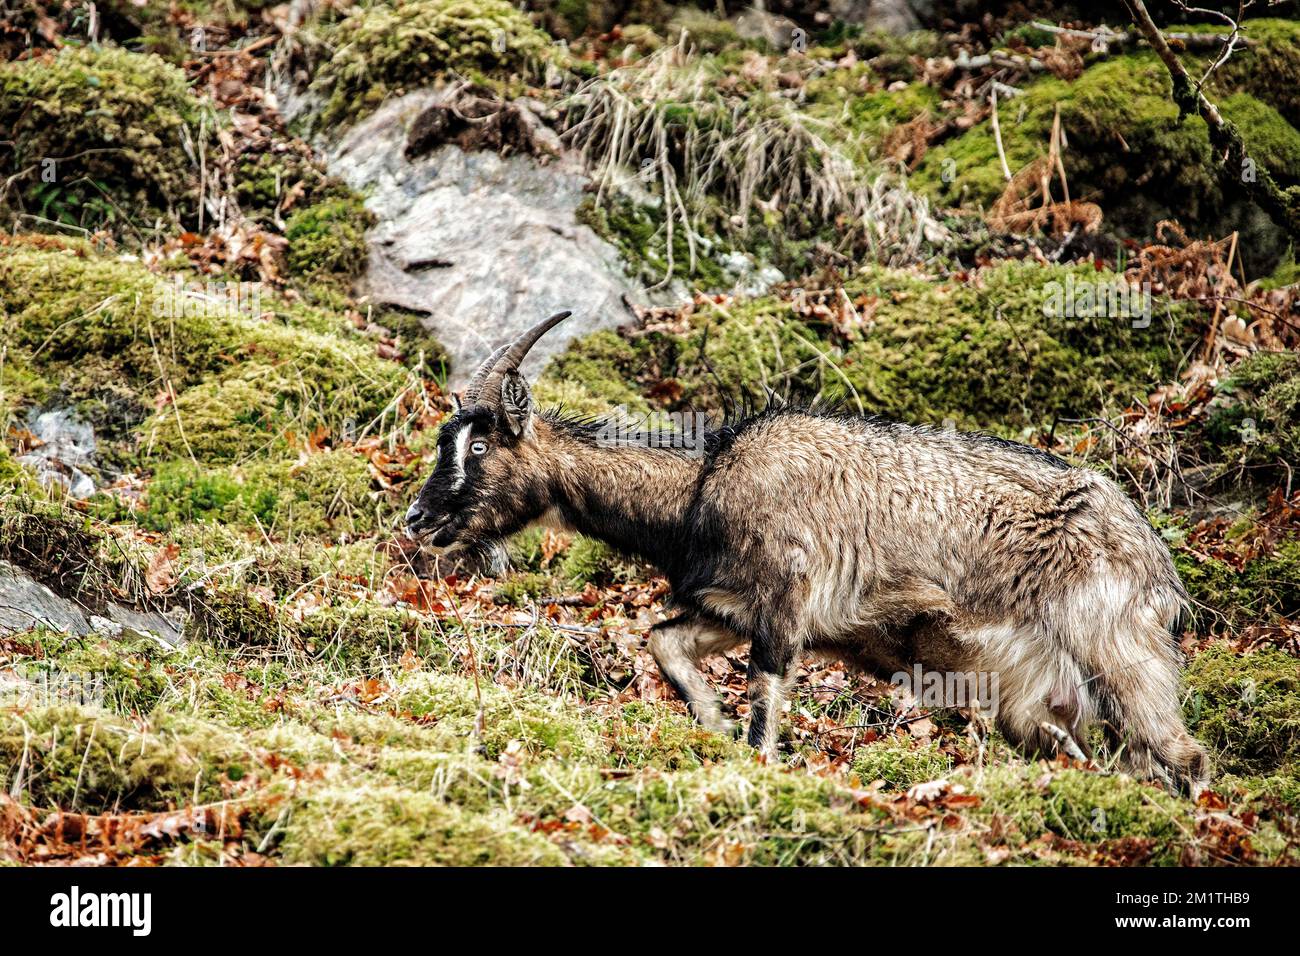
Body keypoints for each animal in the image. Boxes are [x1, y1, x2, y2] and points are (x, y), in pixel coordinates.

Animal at [405, 311, 1209, 792]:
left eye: (479, 445)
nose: (418, 518)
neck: (702, 486)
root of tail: (1156, 562)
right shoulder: (729, 605)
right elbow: (662, 641)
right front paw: (711, 725)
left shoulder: (785, 605)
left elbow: (765, 702)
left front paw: (750, 758)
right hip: (1032, 698)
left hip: (1115, 649)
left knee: (1183, 756)